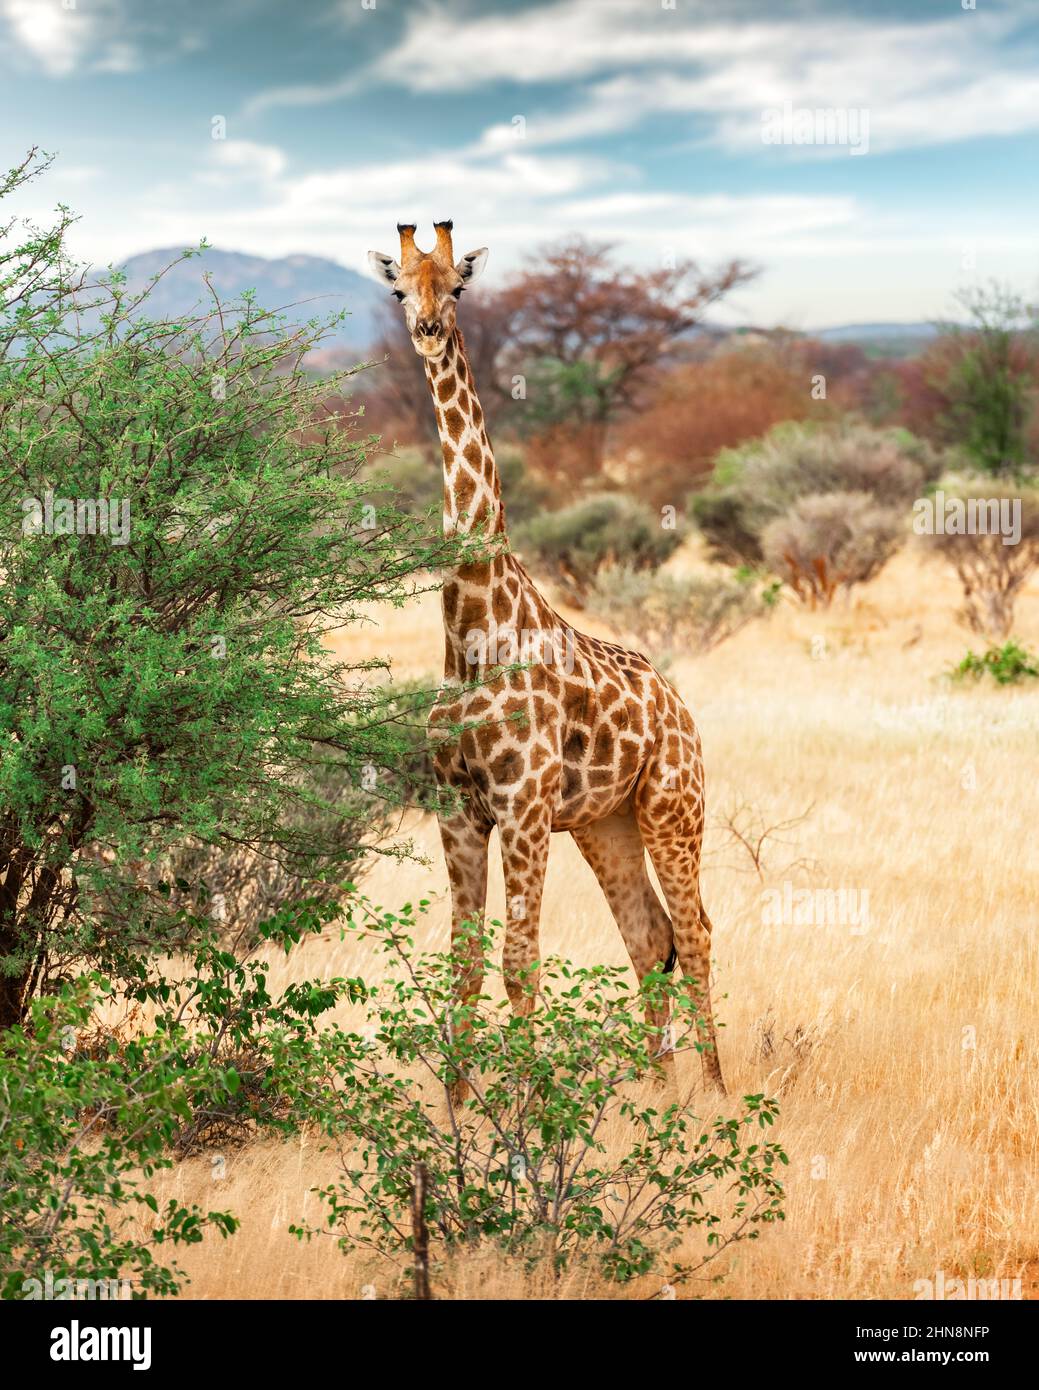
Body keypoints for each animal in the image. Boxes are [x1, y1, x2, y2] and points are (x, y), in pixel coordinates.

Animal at [368, 221, 725, 1093]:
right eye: (399, 286)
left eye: (457, 285)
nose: (427, 331)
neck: (471, 628)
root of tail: (681, 709)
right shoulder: (458, 808)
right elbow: (462, 965)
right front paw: (458, 1107)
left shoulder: (523, 808)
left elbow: (518, 962)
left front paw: (525, 1110)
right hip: (607, 823)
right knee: (649, 936)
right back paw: (662, 1095)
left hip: (673, 808)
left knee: (695, 931)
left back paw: (716, 1091)